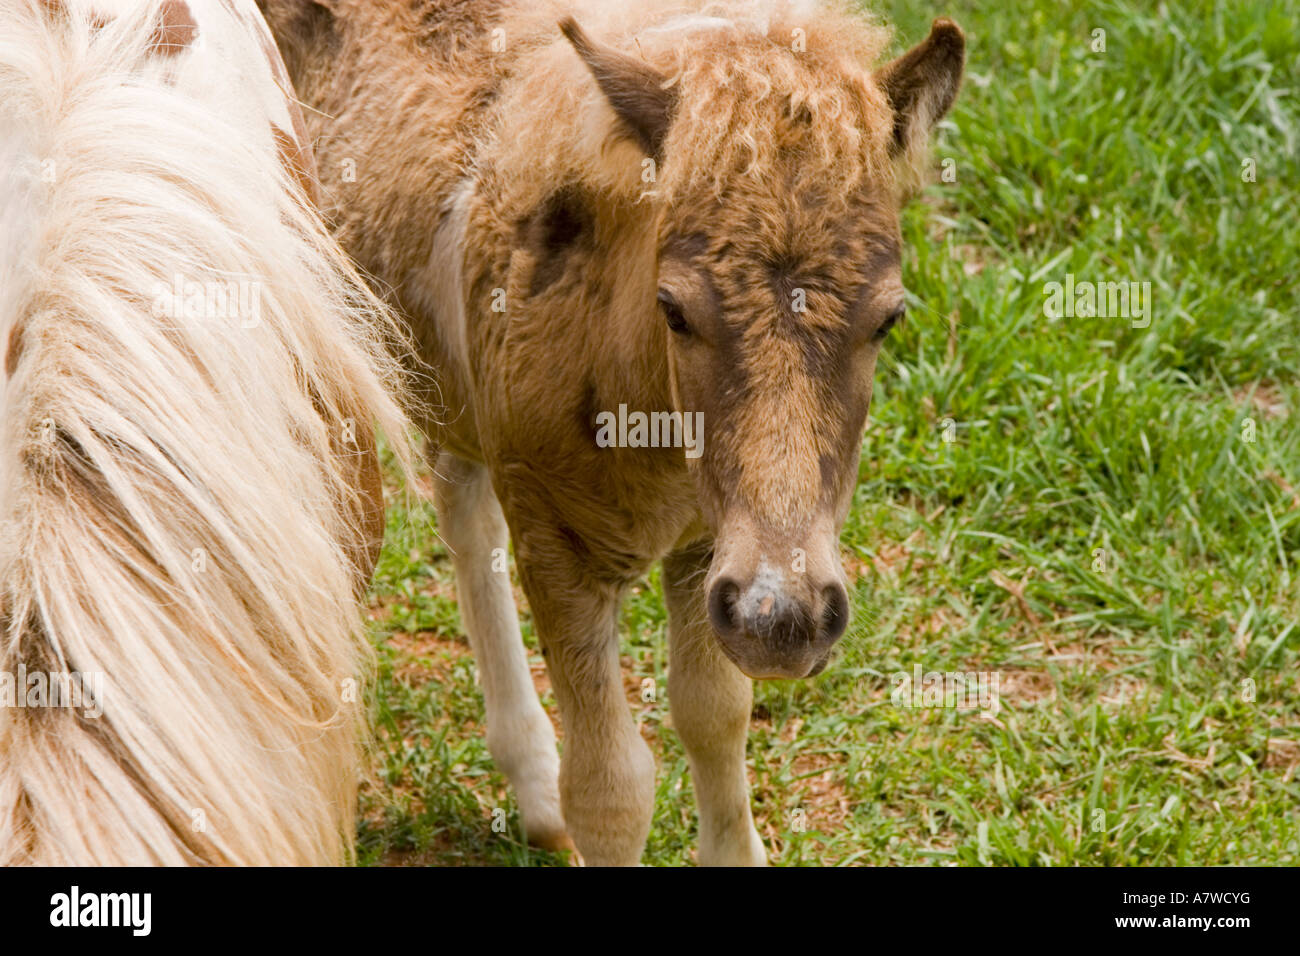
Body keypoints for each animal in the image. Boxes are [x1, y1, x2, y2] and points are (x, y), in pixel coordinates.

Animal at [261, 0, 964, 865]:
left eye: (889, 318)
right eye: (674, 308)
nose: (785, 617)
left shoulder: (708, 542)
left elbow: (715, 714)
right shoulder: (559, 546)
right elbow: (611, 789)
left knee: (462, 506)